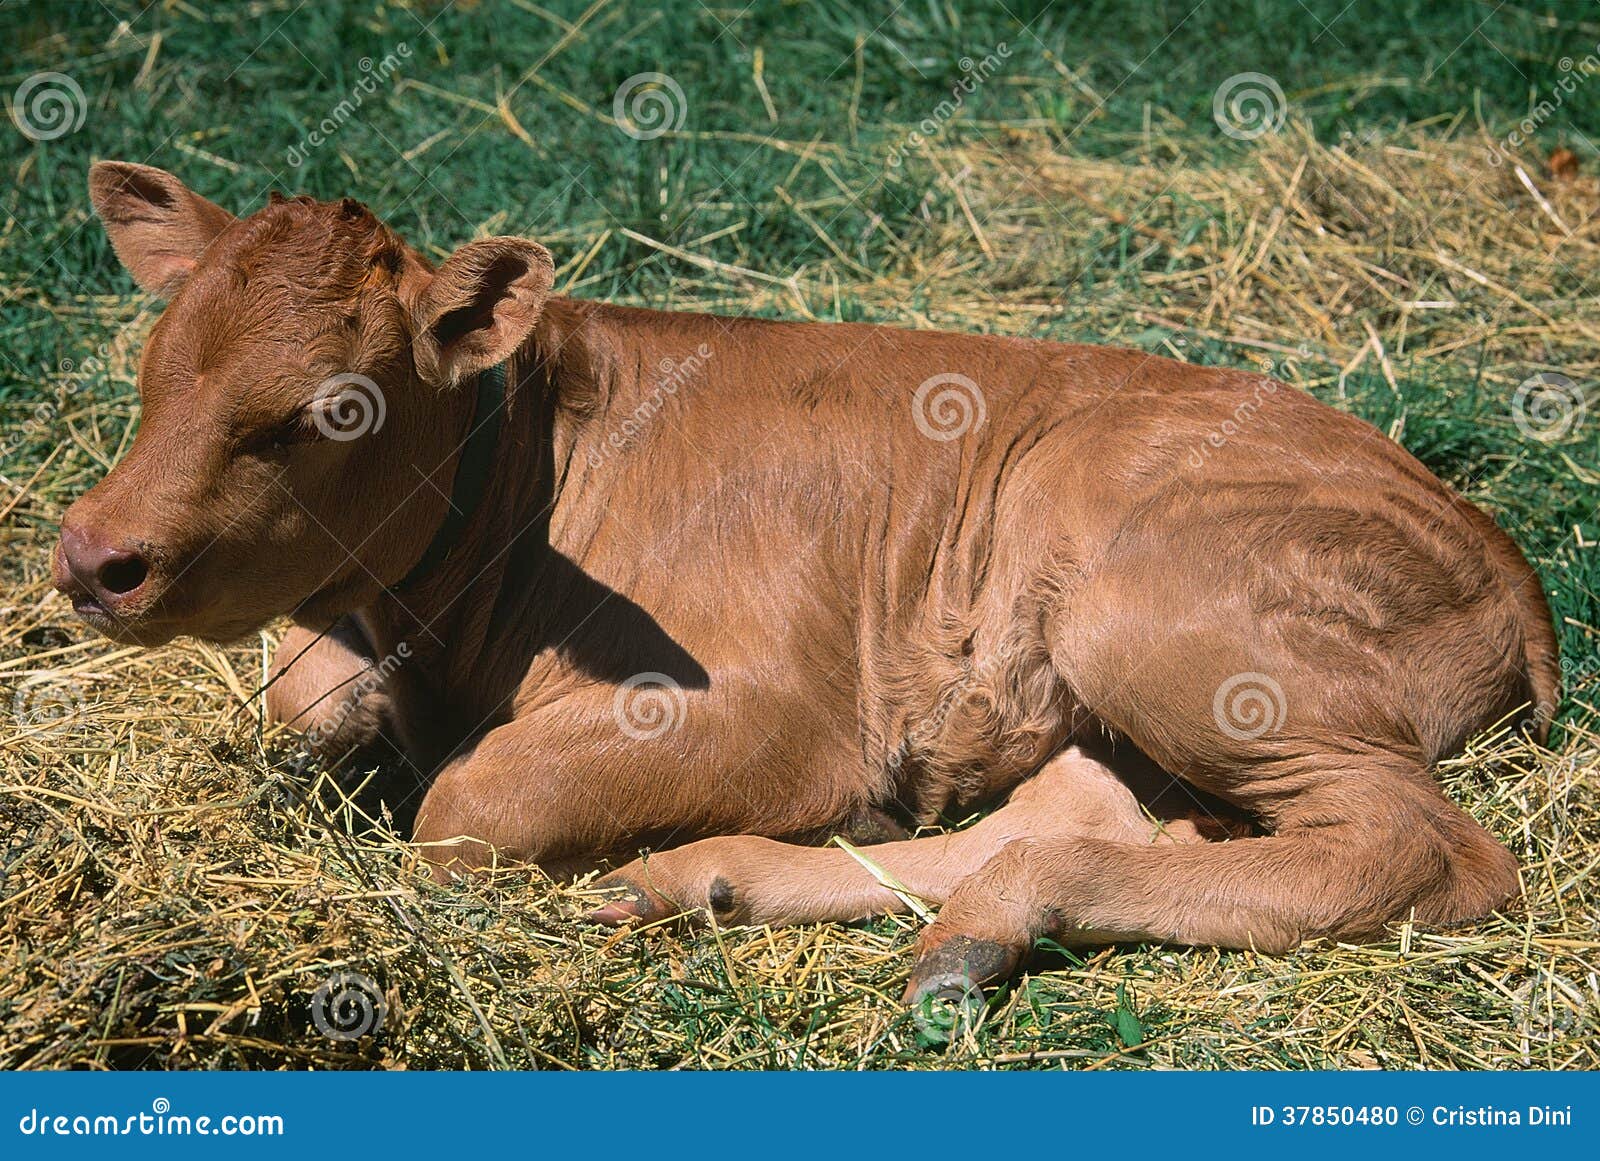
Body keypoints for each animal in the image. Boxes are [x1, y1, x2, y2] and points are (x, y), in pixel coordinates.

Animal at [55, 161, 1559, 1006]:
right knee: (1071, 816)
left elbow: (466, 805)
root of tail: (1504, 557)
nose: (92, 557)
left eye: (335, 408)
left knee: (1419, 849)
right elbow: (309, 705)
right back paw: (770, 893)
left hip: (1155, 615)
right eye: (154, 362)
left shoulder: (769, 708)